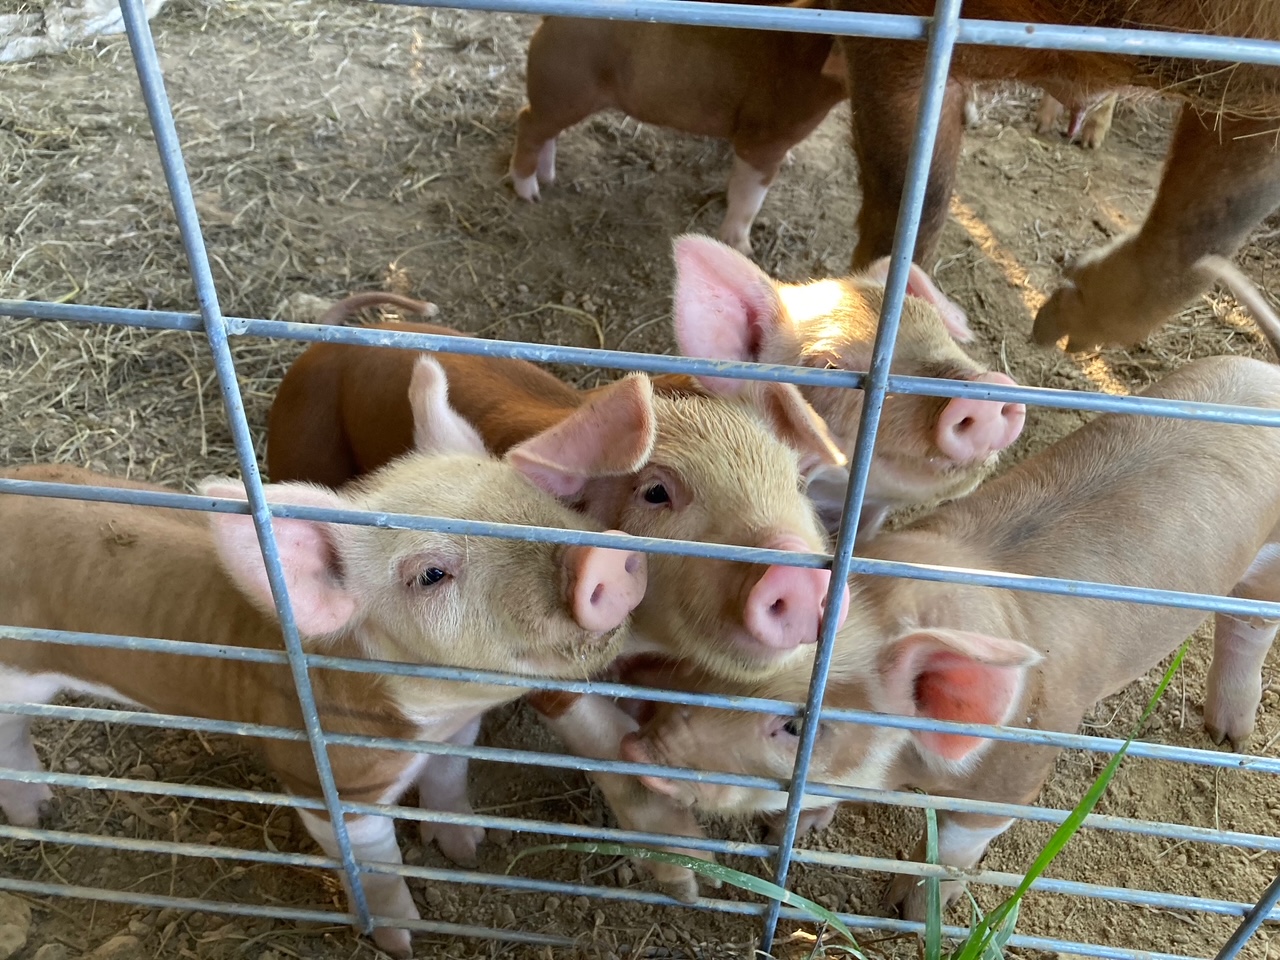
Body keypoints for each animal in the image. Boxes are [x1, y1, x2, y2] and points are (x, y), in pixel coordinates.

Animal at [0, 356, 650, 958]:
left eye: (532, 497)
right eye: (430, 574)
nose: (601, 558)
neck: (427, 719)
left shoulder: (458, 735)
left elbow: (448, 786)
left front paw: (468, 851)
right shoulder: (324, 783)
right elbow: (378, 866)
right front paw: (404, 939)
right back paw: (38, 814)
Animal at [508, 6, 848, 256]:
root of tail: (552, 17)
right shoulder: (763, 137)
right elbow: (749, 197)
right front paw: (744, 251)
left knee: (542, 129)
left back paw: (548, 177)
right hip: (566, 88)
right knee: (527, 122)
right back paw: (531, 193)